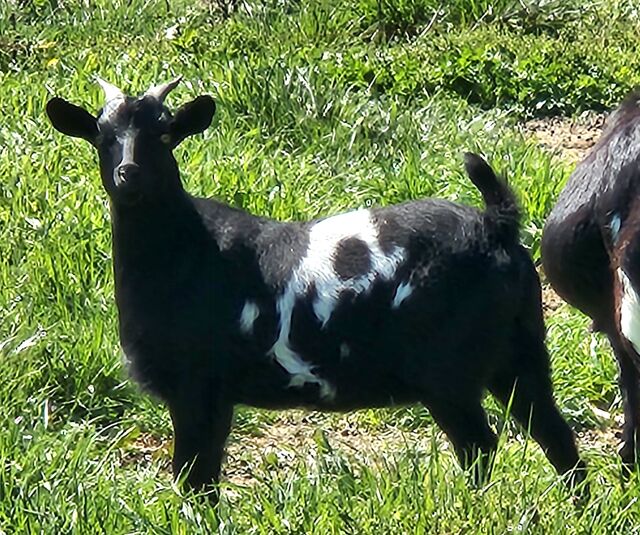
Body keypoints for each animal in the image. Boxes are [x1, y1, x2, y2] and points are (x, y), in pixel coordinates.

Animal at [46, 78, 586, 498]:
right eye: (102, 136)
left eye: (163, 134)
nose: (129, 174)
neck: (189, 250)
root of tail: (496, 226)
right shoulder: (213, 394)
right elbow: (203, 476)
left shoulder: (196, 385)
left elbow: (193, 477)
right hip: (520, 354)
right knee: (555, 436)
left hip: (448, 373)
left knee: (480, 445)